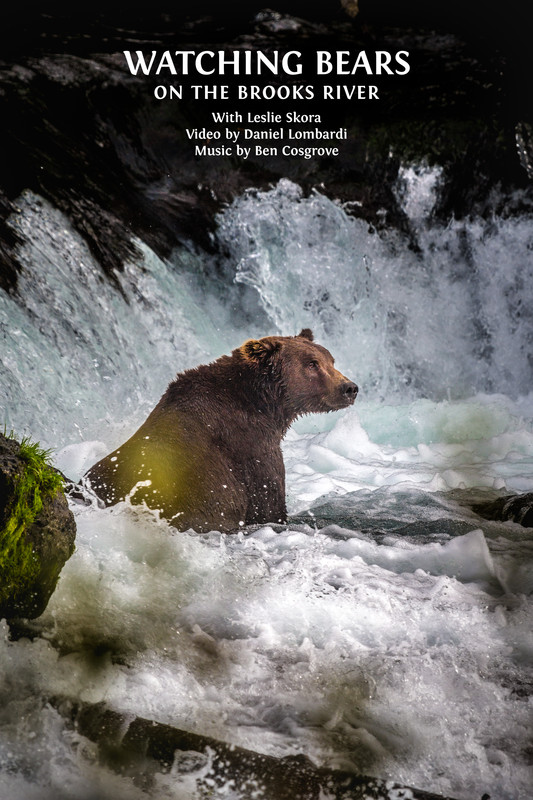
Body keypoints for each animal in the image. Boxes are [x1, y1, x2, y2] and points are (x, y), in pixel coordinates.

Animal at [84, 329, 358, 532]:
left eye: (330, 360)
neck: (264, 405)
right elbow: (268, 505)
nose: (350, 388)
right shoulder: (251, 451)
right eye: (312, 364)